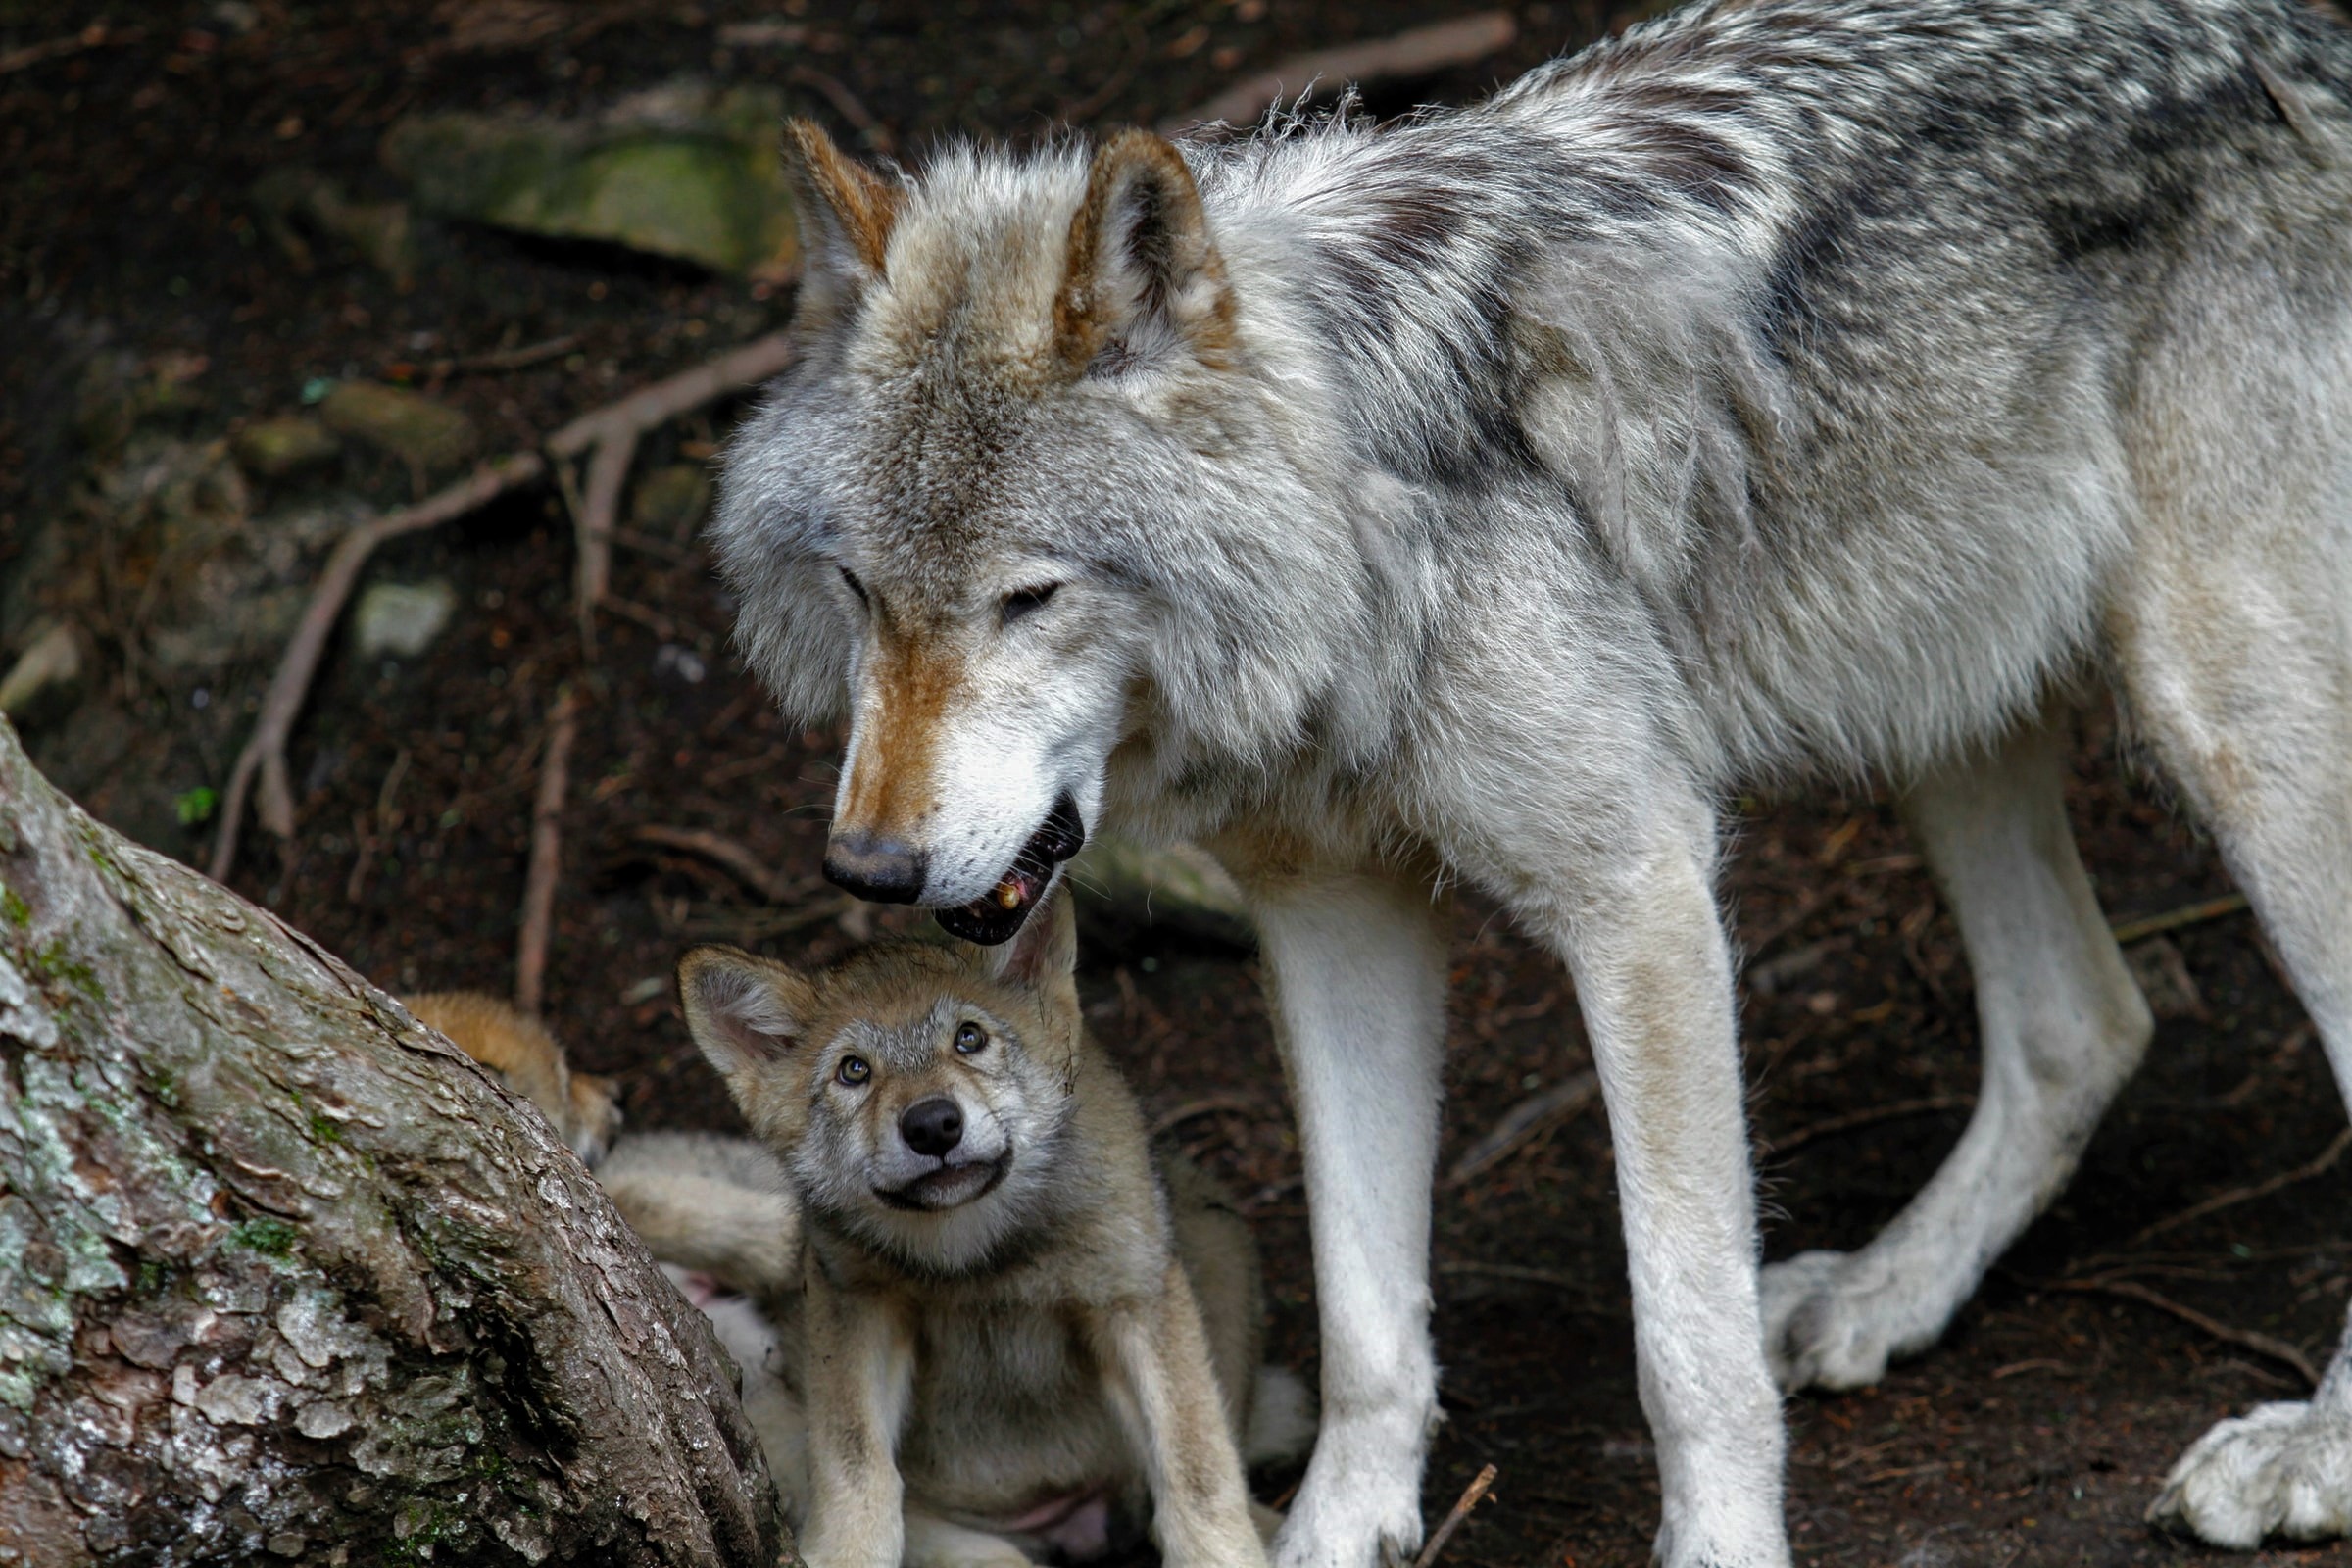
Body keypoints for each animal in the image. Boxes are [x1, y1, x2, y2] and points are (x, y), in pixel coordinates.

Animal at [672, 890, 1311, 1567]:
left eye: (969, 1038)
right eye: (853, 1071)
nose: (932, 1125)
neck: (977, 1256)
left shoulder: (1132, 1298)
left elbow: (1198, 1471)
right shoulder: (855, 1303)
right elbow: (855, 1463)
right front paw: (843, 1553)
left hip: (1217, 1243)